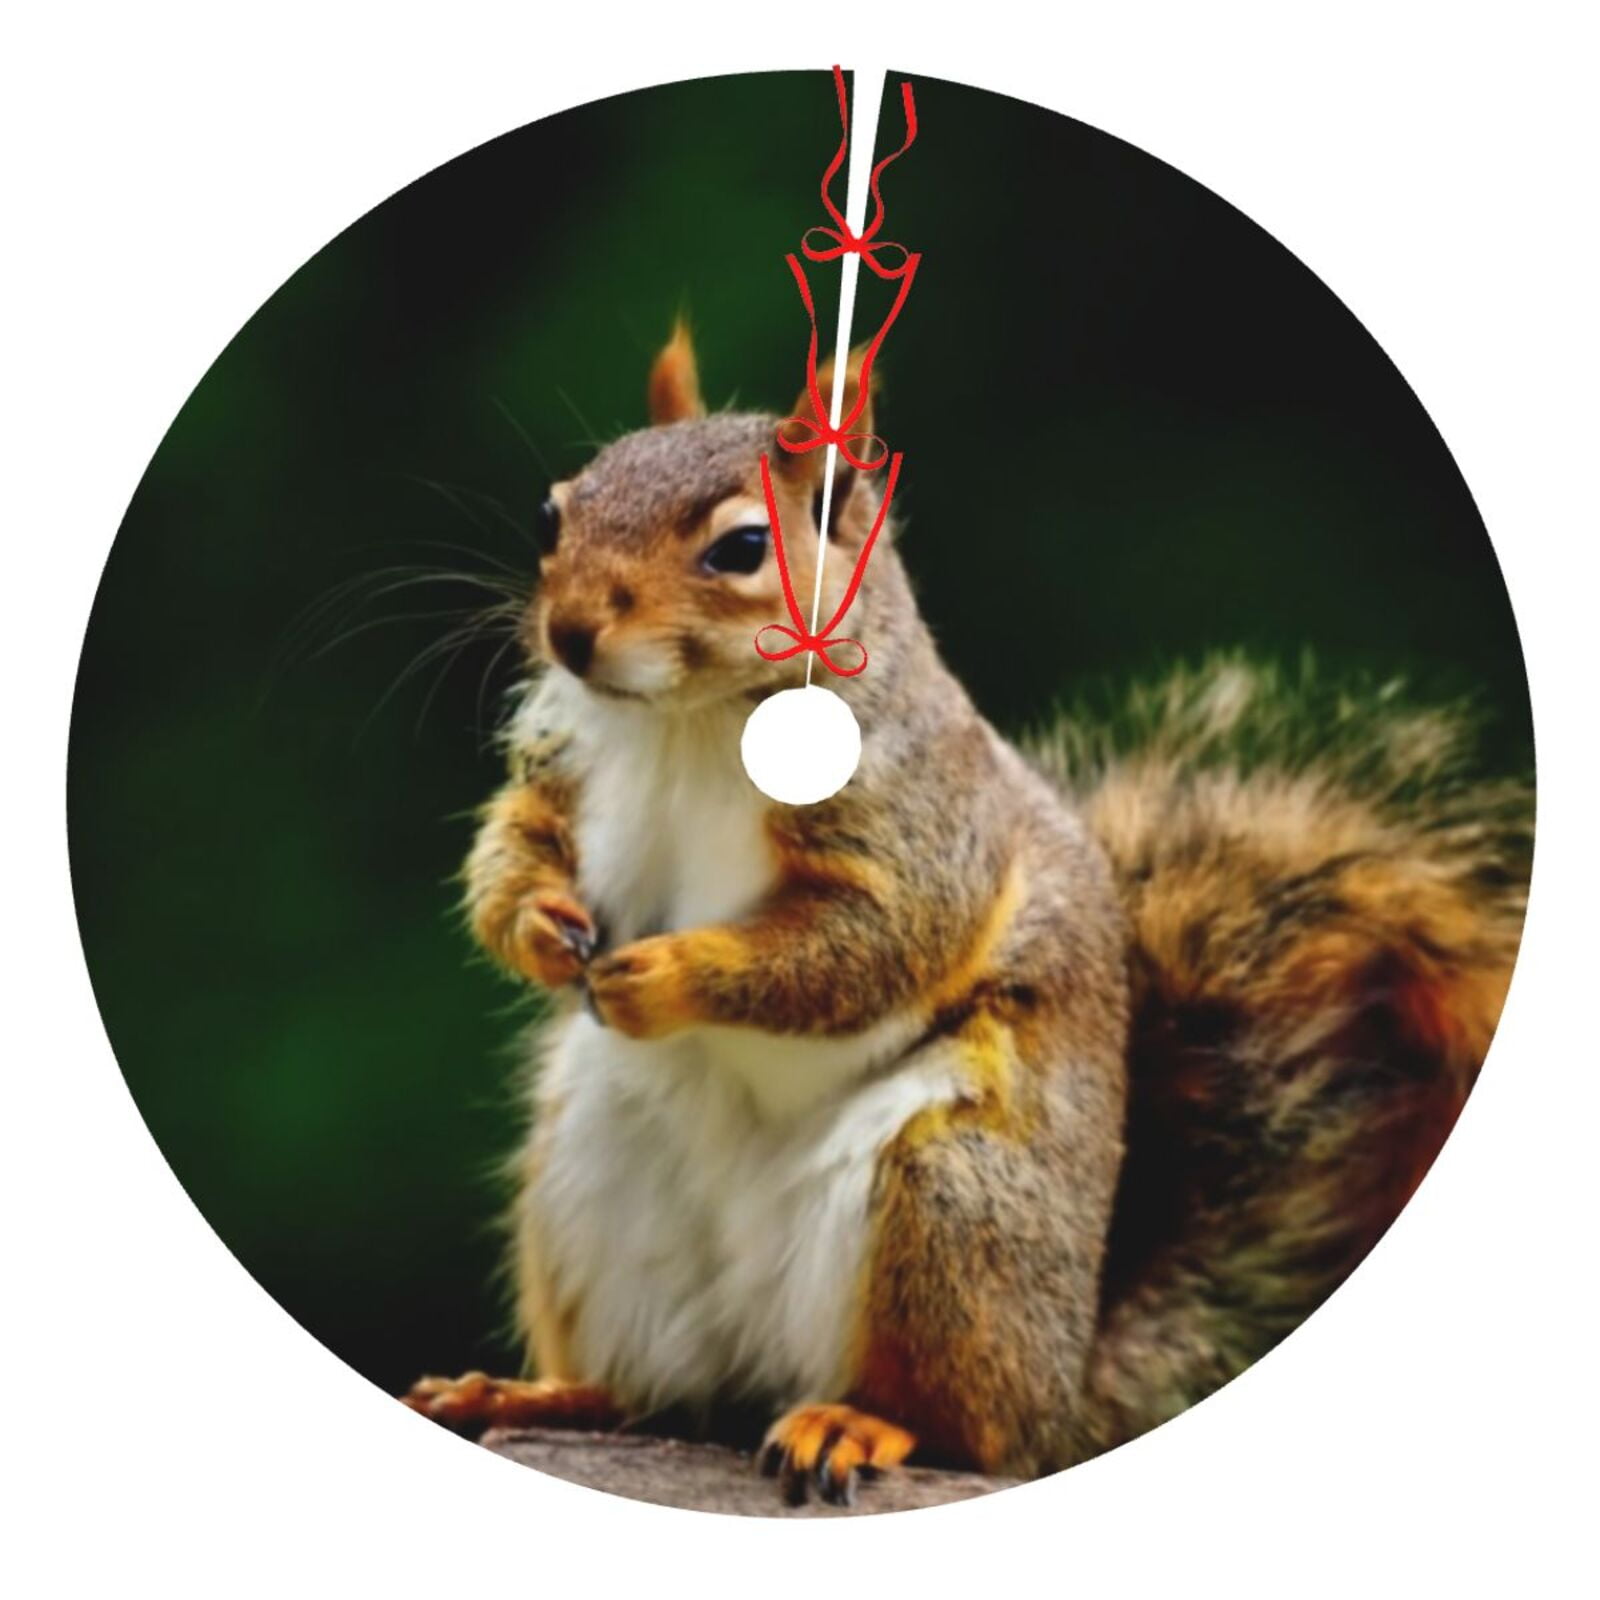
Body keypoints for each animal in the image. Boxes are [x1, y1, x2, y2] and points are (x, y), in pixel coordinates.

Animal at [403, 326, 1531, 1507]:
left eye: (742, 546)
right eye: (551, 513)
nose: (570, 631)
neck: (687, 722)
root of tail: (1063, 1383)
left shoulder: (923, 831)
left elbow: (867, 947)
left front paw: (666, 973)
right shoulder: (565, 770)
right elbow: (512, 848)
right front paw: (539, 927)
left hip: (952, 1200)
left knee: (959, 1424)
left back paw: (855, 1424)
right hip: (592, 1186)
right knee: (656, 1394)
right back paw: (535, 1391)